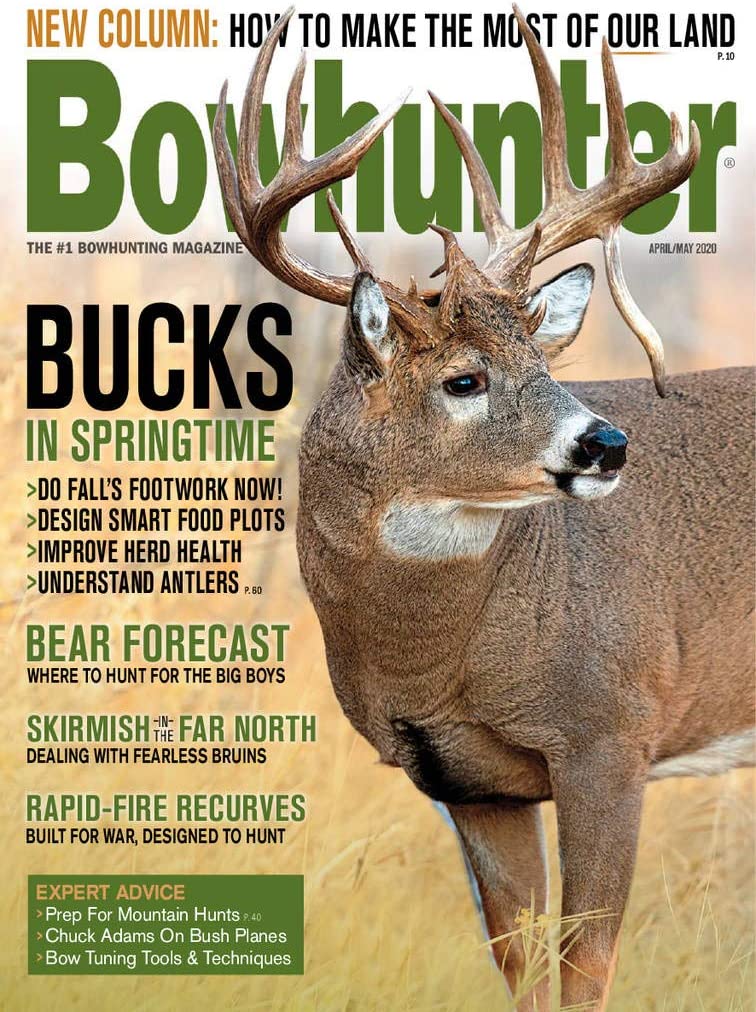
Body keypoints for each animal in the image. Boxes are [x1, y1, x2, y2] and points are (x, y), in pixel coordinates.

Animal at [213, 7, 755, 1008]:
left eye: (543, 362)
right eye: (465, 378)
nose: (607, 444)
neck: (441, 657)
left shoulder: (611, 733)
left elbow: (585, 967)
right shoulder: (471, 783)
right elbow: (523, 967)